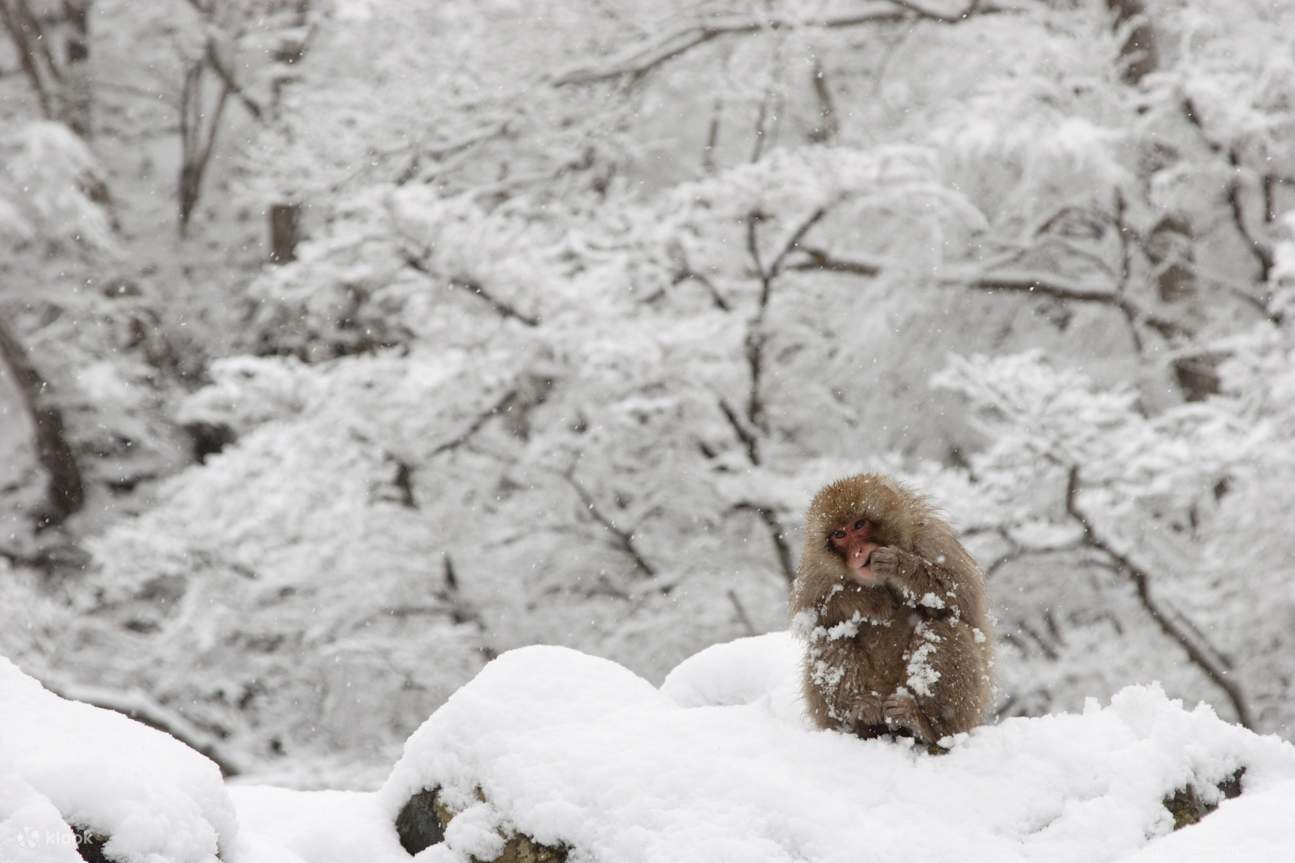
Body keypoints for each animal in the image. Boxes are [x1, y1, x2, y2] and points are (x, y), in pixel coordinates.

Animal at [790, 473, 992, 746]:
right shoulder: (815, 571)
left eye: (860, 524)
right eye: (839, 534)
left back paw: (923, 725)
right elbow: (808, 615)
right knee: (829, 636)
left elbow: (964, 596)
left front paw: (899, 565)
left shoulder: (932, 540)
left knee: (944, 625)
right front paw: (867, 599)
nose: (858, 551)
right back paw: (861, 715)